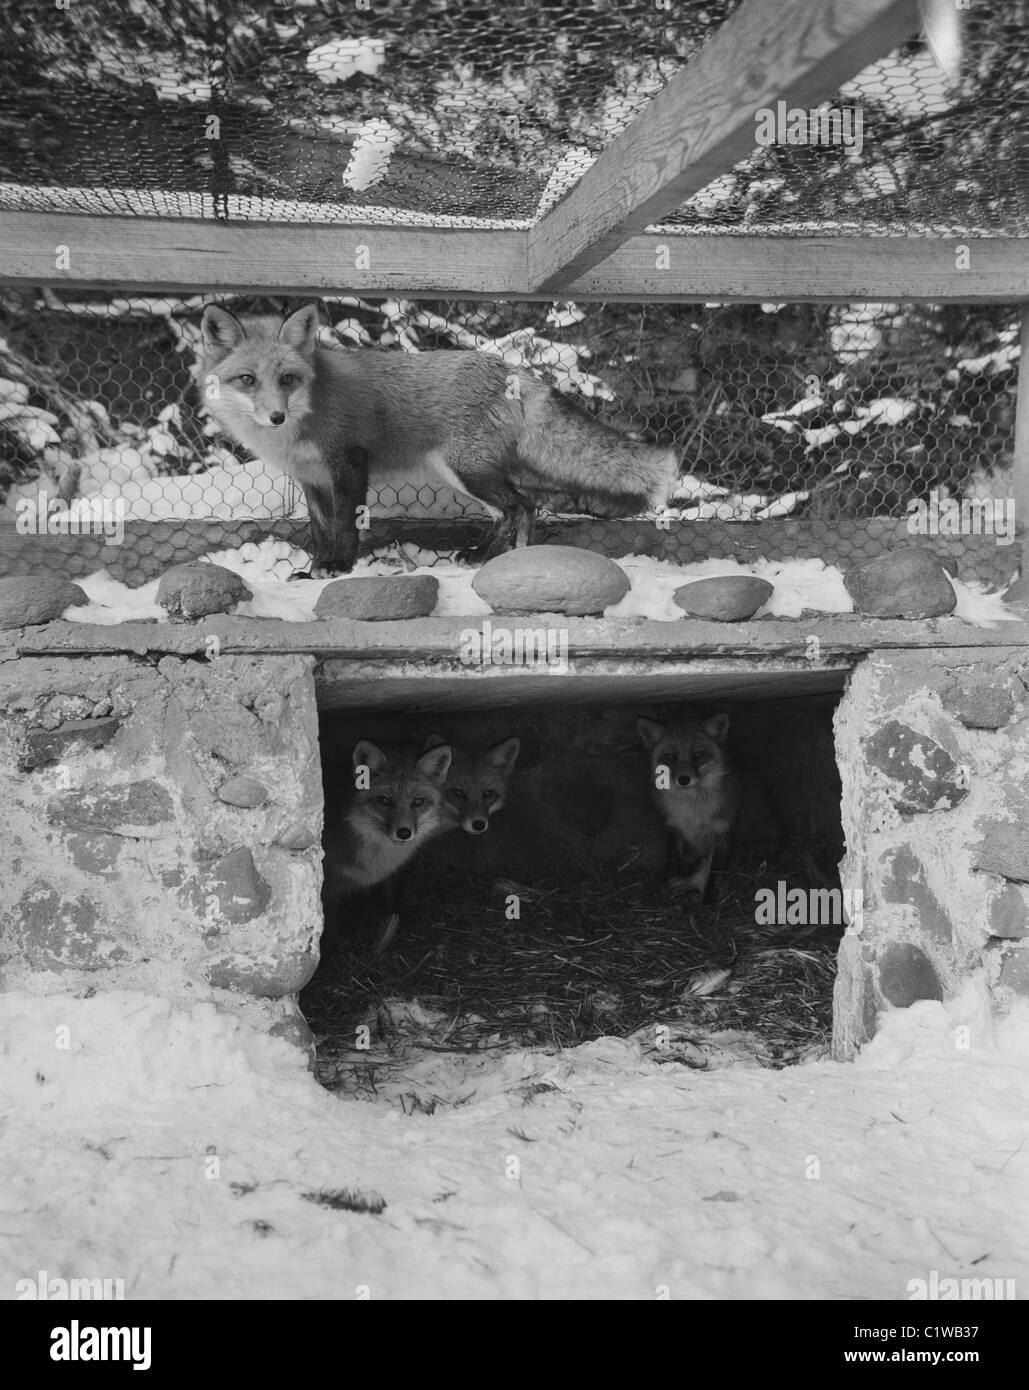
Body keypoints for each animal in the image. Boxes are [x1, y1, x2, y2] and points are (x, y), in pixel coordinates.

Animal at [198, 302, 678, 576]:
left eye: (287, 378)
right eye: (247, 380)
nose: (276, 417)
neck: (306, 413)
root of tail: (511, 369)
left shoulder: (349, 462)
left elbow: (345, 526)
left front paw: (337, 566)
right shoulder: (311, 479)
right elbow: (320, 530)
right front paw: (315, 567)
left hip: (467, 470)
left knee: (522, 506)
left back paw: (498, 559)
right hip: (461, 473)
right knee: (513, 510)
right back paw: (486, 557)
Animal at [322, 738, 452, 950]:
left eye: (418, 802)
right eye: (384, 801)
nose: (404, 833)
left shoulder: (389, 875)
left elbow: (390, 898)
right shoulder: (328, 888)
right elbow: (329, 927)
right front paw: (331, 952)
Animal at [636, 713, 741, 904]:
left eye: (698, 754)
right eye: (670, 756)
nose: (684, 779)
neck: (693, 813)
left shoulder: (721, 834)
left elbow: (712, 873)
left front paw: (708, 901)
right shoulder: (678, 831)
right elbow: (677, 862)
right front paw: (672, 884)